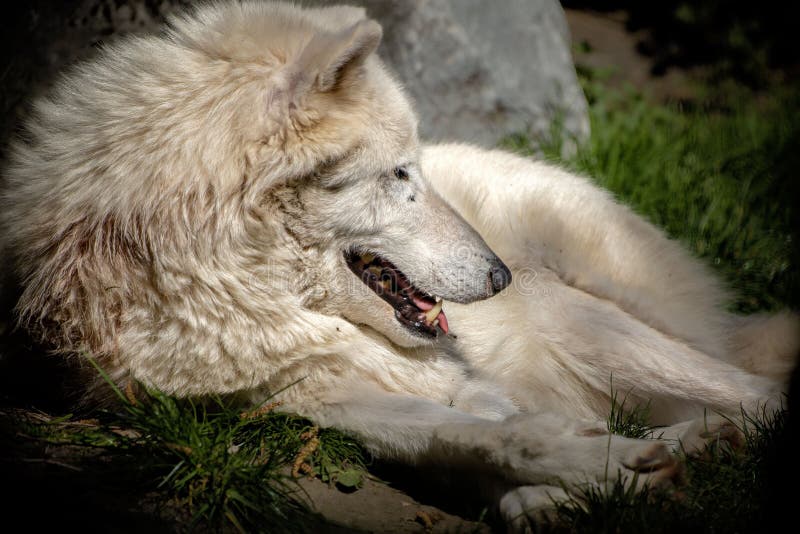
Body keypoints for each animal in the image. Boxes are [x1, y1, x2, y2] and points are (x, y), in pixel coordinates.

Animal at [1, 1, 797, 529]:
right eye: (399, 174)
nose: (499, 276)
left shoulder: (456, 373)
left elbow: (505, 426)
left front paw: (599, 470)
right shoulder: (297, 400)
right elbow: (480, 436)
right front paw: (590, 475)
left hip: (586, 315)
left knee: (758, 398)